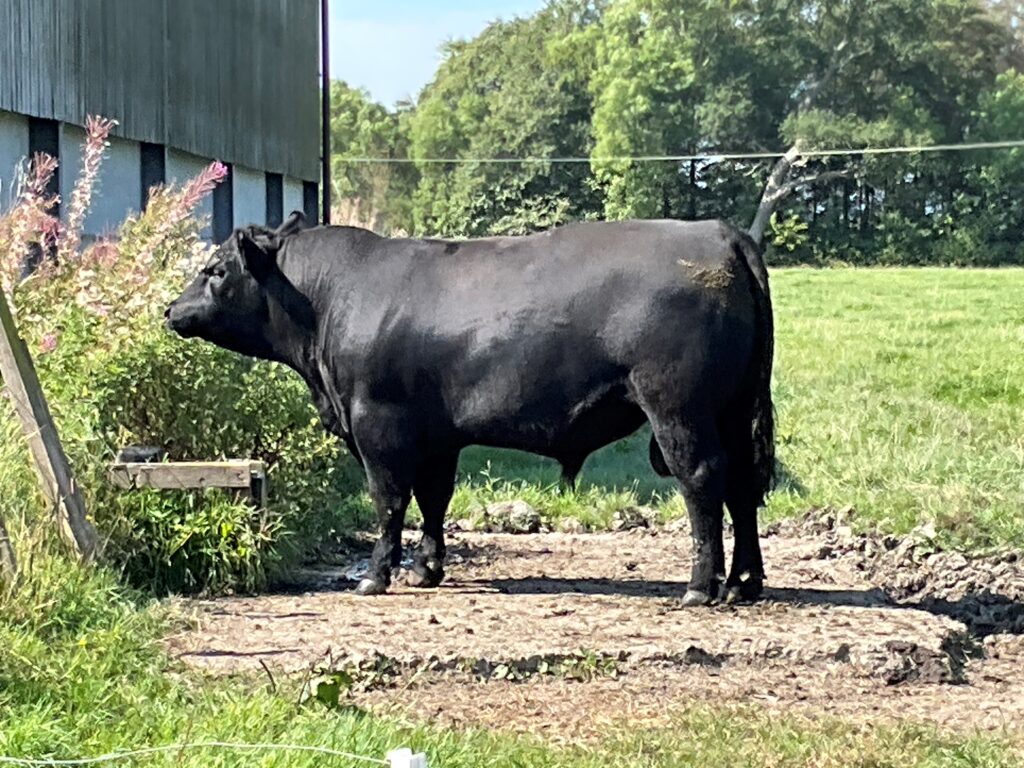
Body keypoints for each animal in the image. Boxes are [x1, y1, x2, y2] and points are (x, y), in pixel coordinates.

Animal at [165, 213, 775, 606]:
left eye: (215, 269)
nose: (171, 309)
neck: (329, 303)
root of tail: (721, 234)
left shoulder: (377, 427)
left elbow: (389, 500)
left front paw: (376, 575)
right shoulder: (437, 434)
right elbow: (433, 498)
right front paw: (426, 568)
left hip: (678, 408)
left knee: (703, 480)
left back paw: (699, 586)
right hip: (733, 408)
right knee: (743, 483)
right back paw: (743, 582)